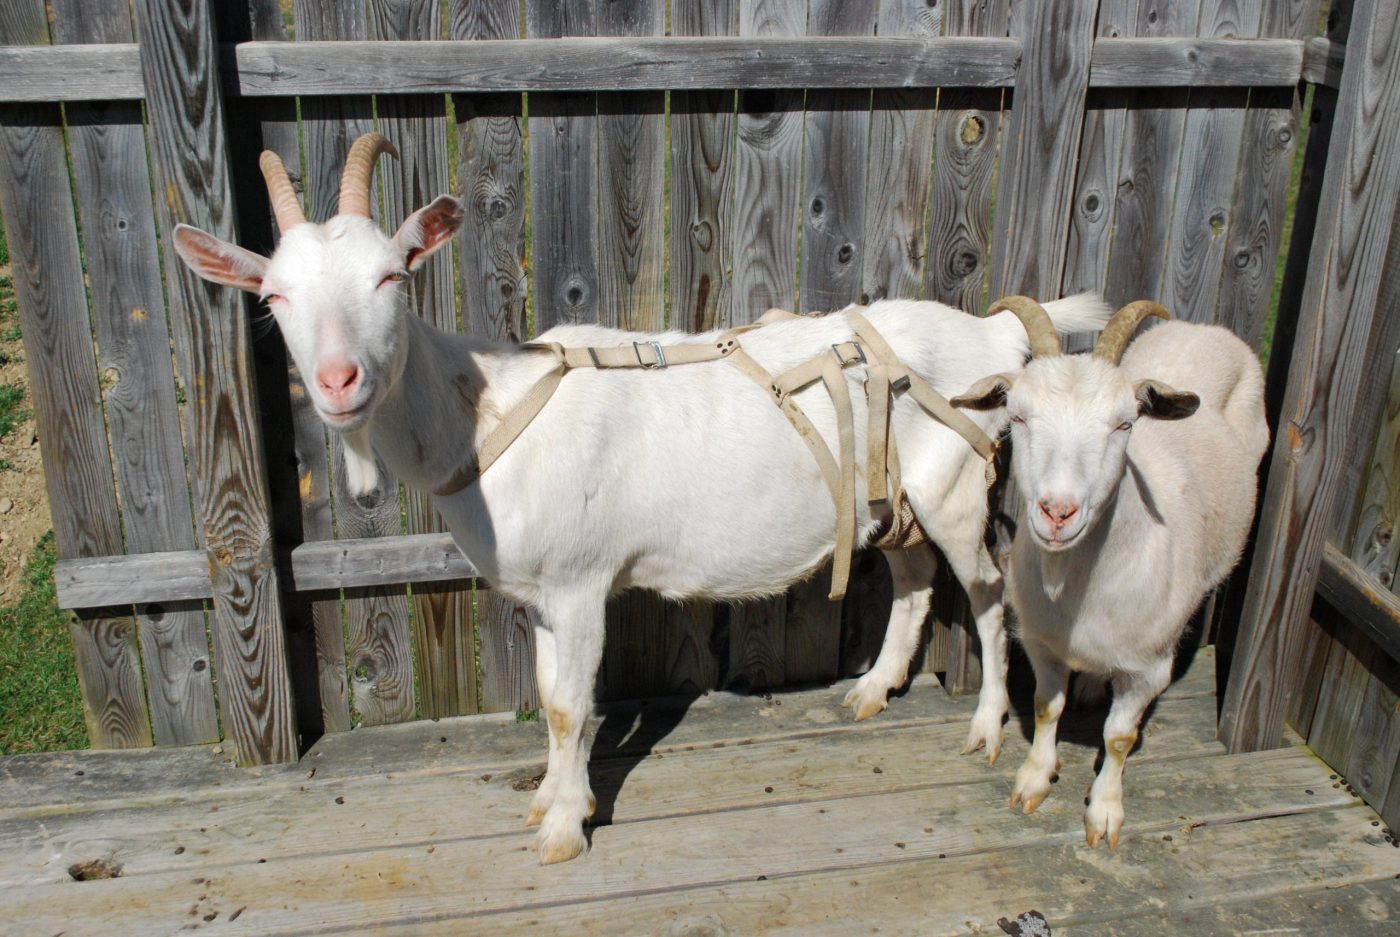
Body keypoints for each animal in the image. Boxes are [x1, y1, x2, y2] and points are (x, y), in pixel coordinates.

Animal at [172, 134, 1111, 864]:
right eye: (273, 295)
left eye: (390, 278)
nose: (338, 381)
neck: (489, 413)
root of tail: (995, 330)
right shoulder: (542, 593)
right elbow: (549, 694)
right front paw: (557, 799)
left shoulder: (582, 580)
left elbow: (569, 704)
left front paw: (562, 829)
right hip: (893, 492)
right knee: (915, 580)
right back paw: (873, 690)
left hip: (955, 484)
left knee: (987, 594)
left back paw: (986, 728)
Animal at [952, 299, 1269, 850]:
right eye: (1017, 415)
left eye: (1124, 424)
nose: (1058, 512)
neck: (1077, 590)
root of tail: (1206, 329)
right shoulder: (1040, 642)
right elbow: (1045, 706)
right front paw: (1034, 779)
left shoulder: (1150, 667)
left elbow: (1119, 738)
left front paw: (1103, 812)